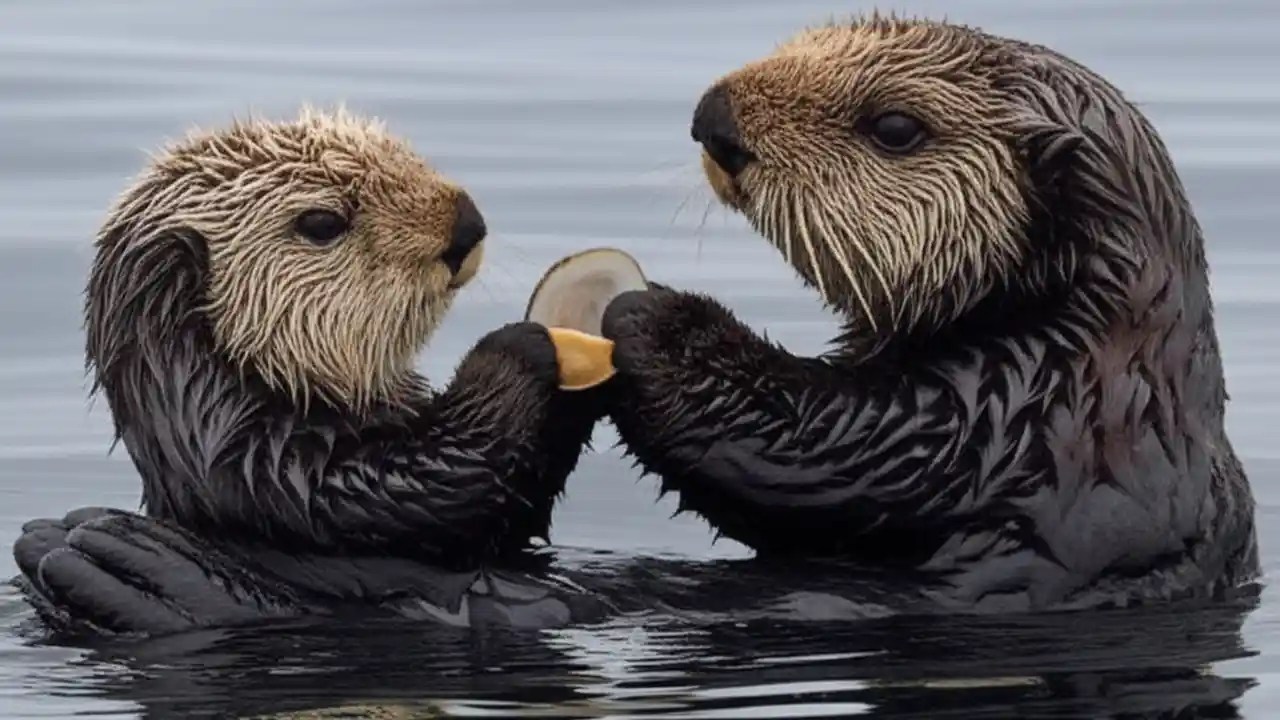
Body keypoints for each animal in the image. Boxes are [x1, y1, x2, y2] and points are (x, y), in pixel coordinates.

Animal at [12, 107, 611, 636]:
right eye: (322, 223)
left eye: (402, 154)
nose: (468, 225)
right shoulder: (280, 480)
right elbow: (441, 479)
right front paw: (524, 347)